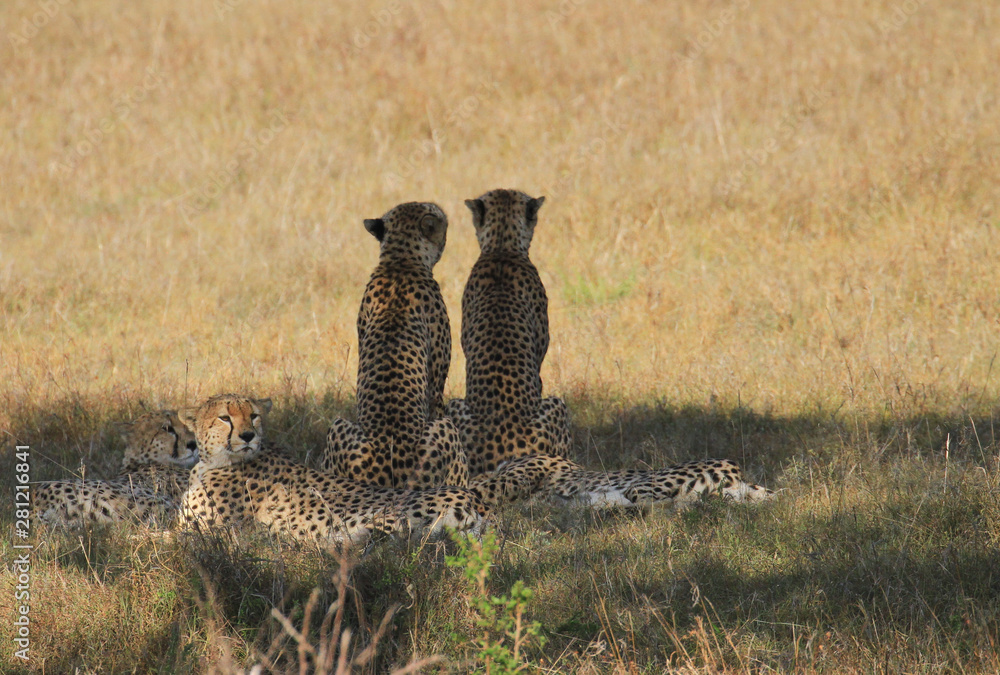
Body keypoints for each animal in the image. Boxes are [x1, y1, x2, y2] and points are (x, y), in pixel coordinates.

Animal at [179, 394, 486, 546]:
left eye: (253, 415)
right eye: (224, 417)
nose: (247, 436)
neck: (212, 462)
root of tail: (477, 502)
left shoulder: (211, 533)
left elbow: (170, 540)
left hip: (385, 514)